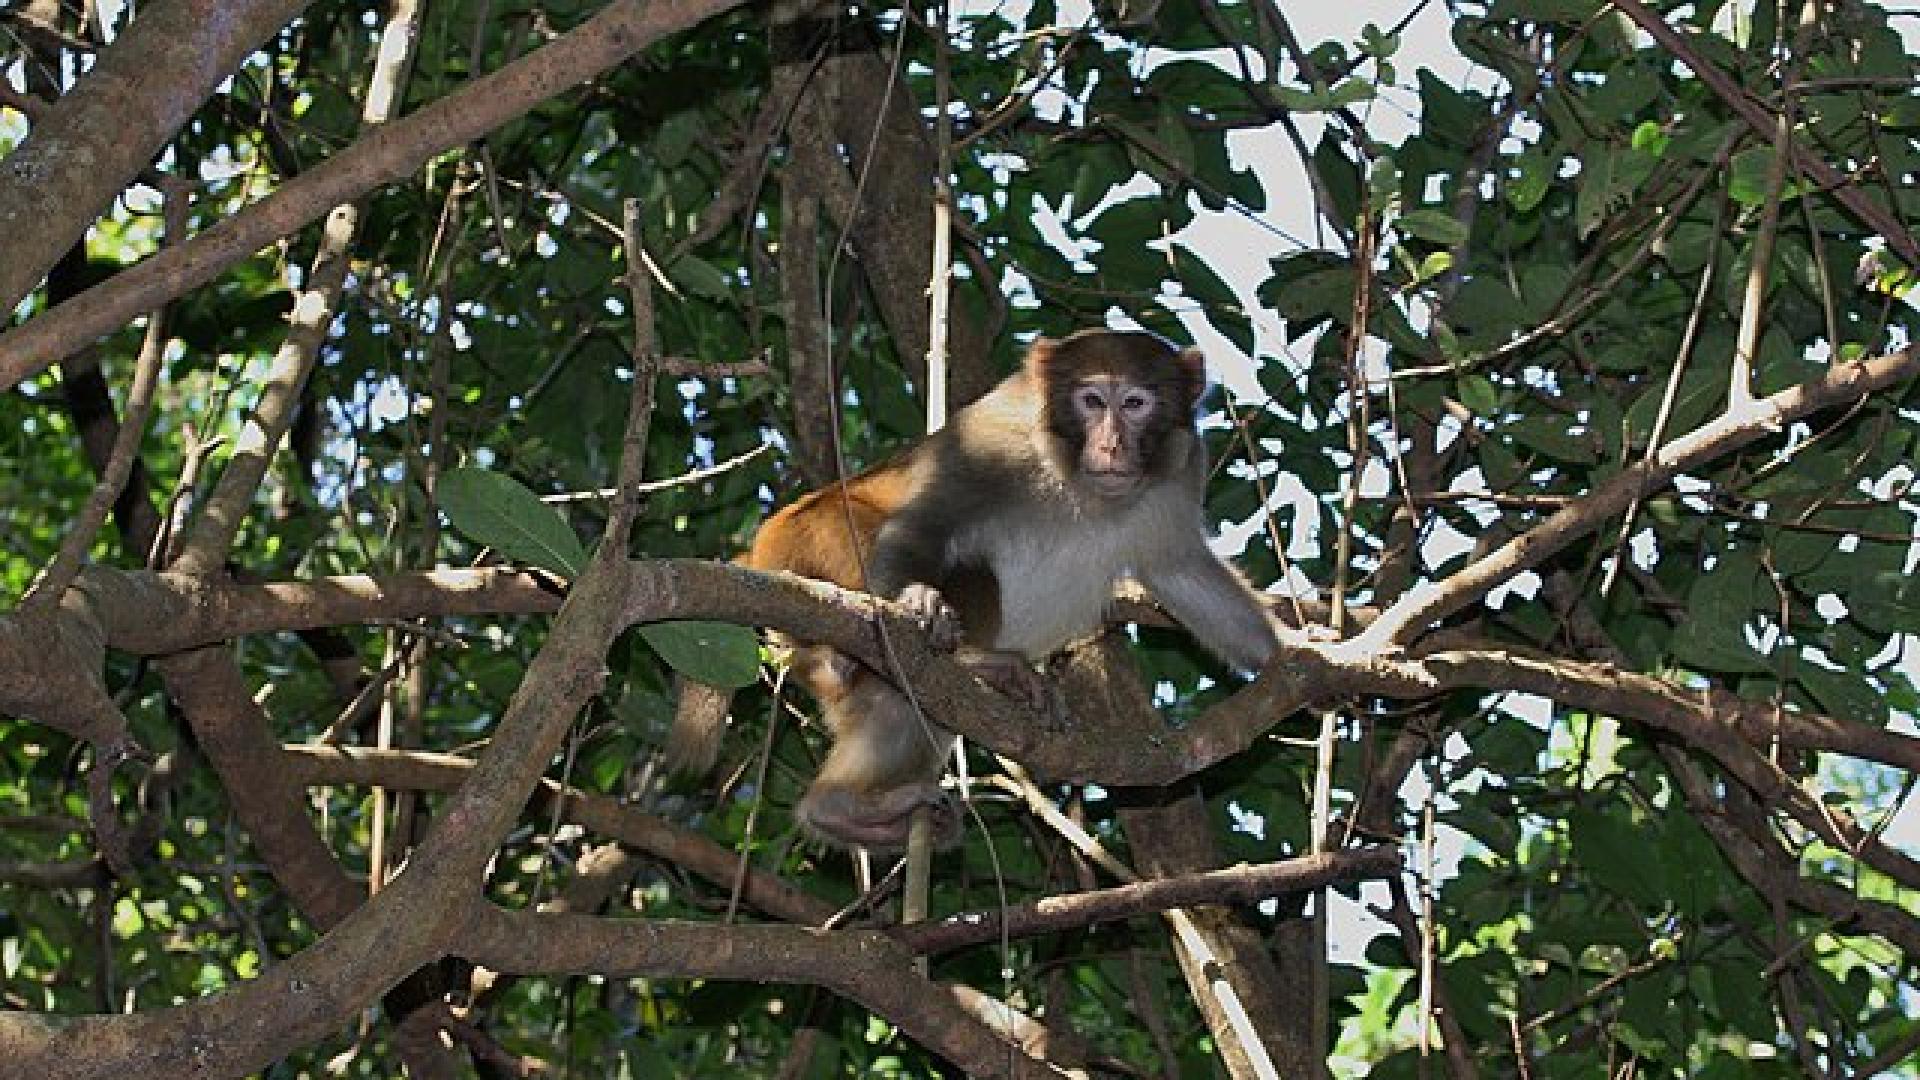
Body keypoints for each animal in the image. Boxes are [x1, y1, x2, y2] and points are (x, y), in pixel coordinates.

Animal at [672, 329, 1282, 849]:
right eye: (1091, 400)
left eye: (1134, 403)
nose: (1110, 445)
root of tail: (761, 544)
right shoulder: (991, 442)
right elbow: (924, 527)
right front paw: (917, 603)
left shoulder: (1183, 468)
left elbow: (1182, 571)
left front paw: (1288, 660)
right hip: (820, 536)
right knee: (963, 568)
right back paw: (964, 664)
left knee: (897, 707)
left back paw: (839, 807)